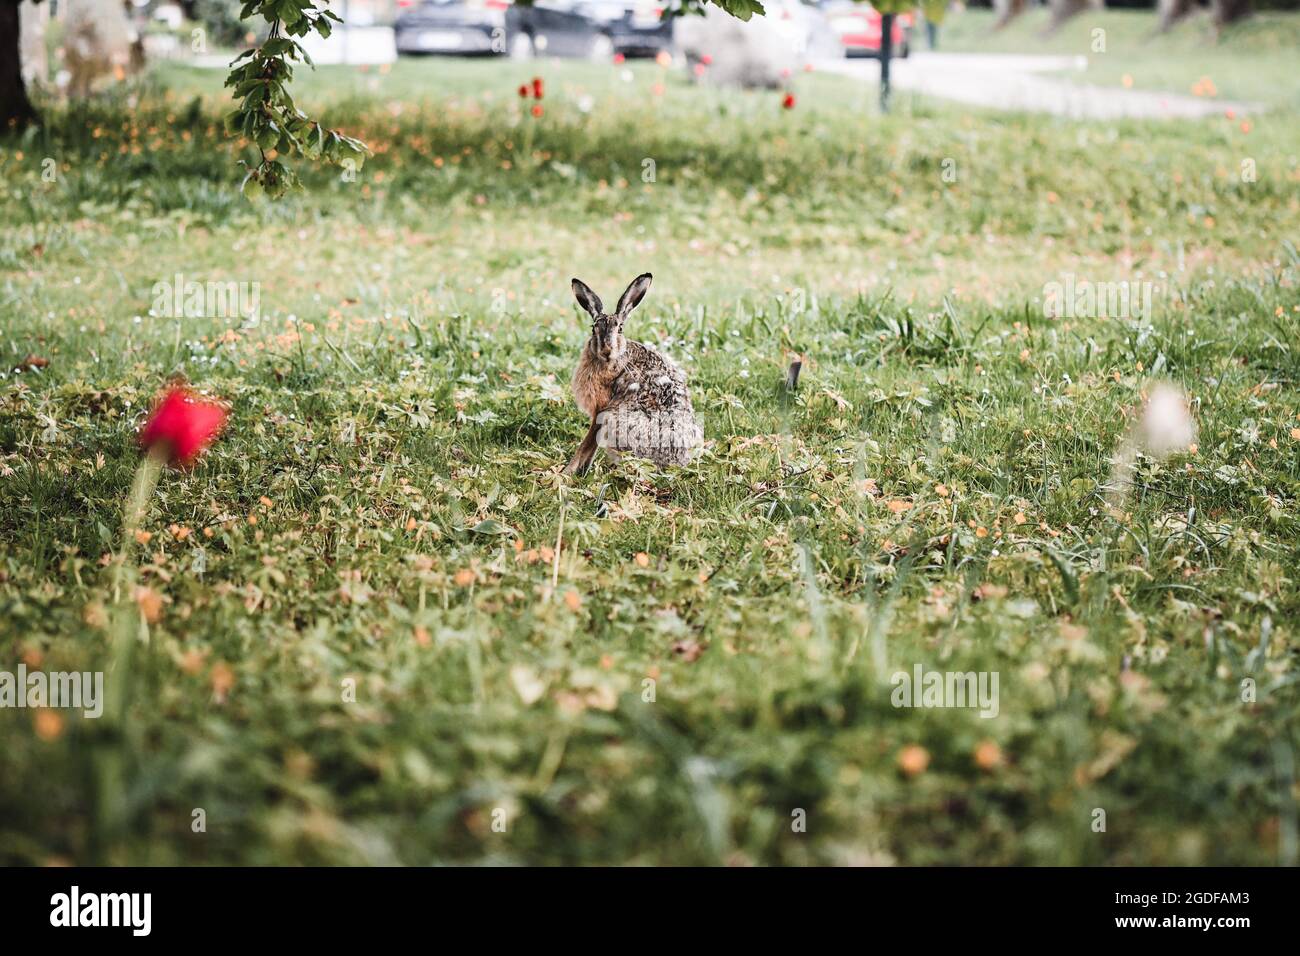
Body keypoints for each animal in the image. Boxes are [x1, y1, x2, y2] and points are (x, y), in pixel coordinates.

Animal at [564, 273, 703, 475]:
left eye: (620, 329)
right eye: (593, 328)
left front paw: (567, 472)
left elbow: (587, 443)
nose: (607, 350)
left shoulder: (602, 409)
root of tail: (675, 463)